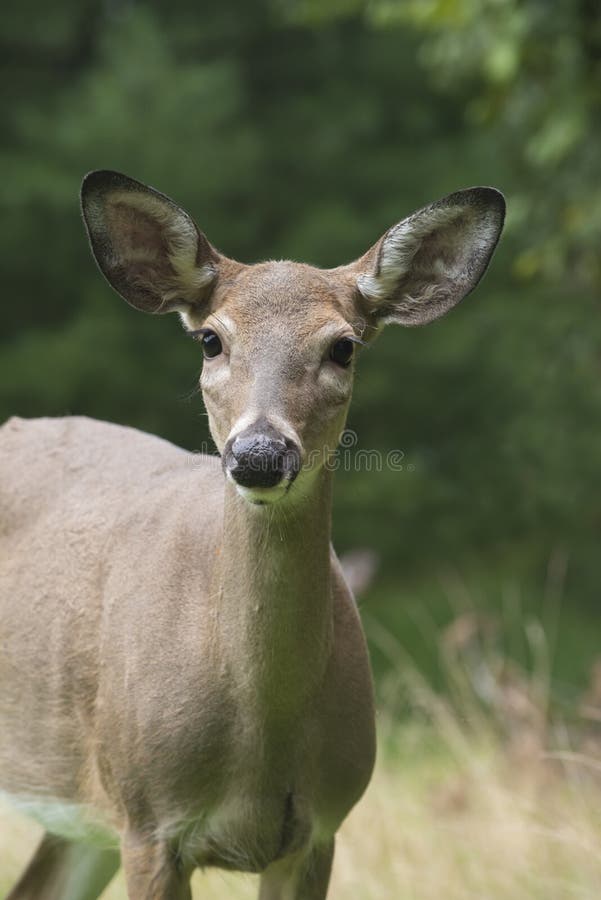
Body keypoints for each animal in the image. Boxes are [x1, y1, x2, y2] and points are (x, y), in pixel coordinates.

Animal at [0, 170, 505, 899]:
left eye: (342, 346)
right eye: (211, 339)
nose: (260, 454)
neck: (260, 733)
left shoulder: (320, 827)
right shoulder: (149, 822)